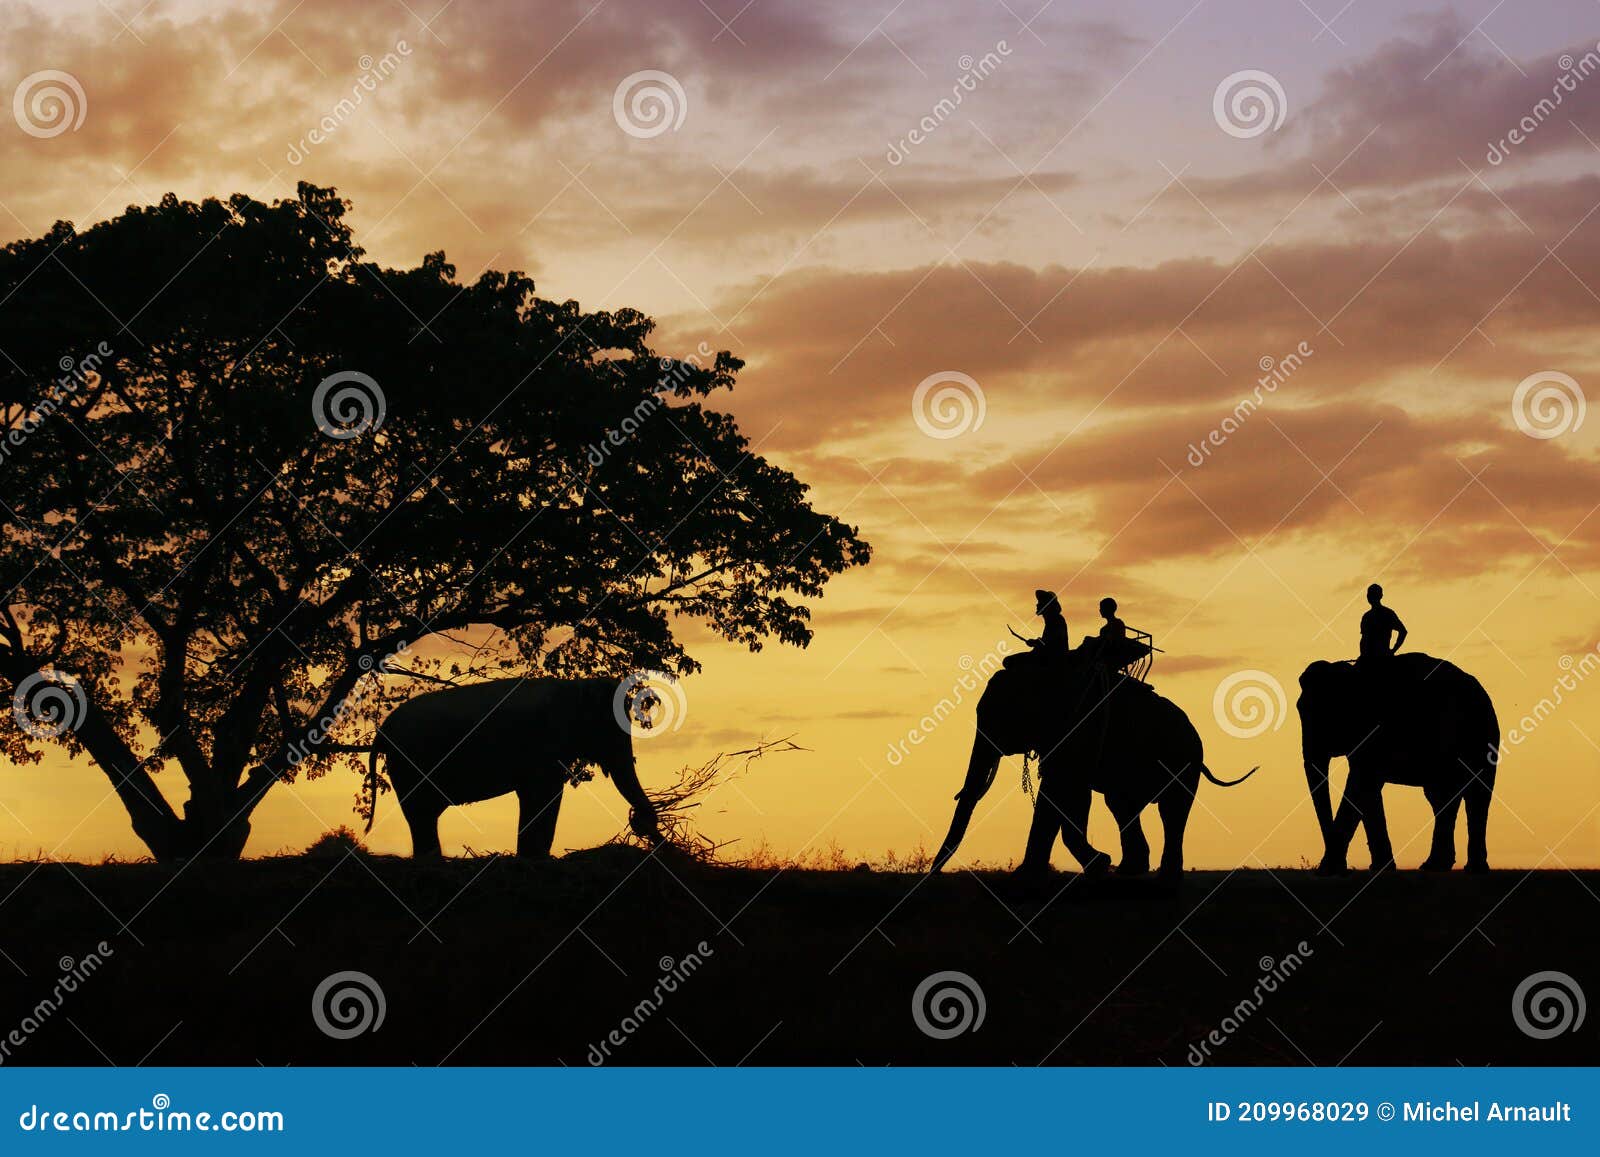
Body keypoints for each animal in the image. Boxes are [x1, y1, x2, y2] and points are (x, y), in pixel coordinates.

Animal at [366, 677, 662, 857]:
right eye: (610, 729)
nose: (653, 835)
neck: (575, 687)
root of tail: (382, 731)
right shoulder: (543, 747)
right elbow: (543, 796)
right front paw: (535, 857)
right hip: (409, 765)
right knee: (420, 814)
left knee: (424, 817)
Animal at [931, 666, 1256, 878]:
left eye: (1001, 716)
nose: (932, 872)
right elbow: (1066, 796)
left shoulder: (1077, 731)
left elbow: (1064, 792)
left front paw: (1096, 863)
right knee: (1123, 806)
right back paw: (1130, 870)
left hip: (1183, 760)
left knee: (1171, 810)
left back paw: (1164, 876)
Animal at [1297, 653, 1499, 874]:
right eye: (1300, 710)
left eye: (1328, 712)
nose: (1342, 868)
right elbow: (1368, 789)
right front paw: (1379, 868)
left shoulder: (1376, 731)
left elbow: (1361, 782)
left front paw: (1327, 869)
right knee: (1442, 797)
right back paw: (1435, 866)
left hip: (1480, 738)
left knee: (1476, 794)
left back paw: (1472, 868)